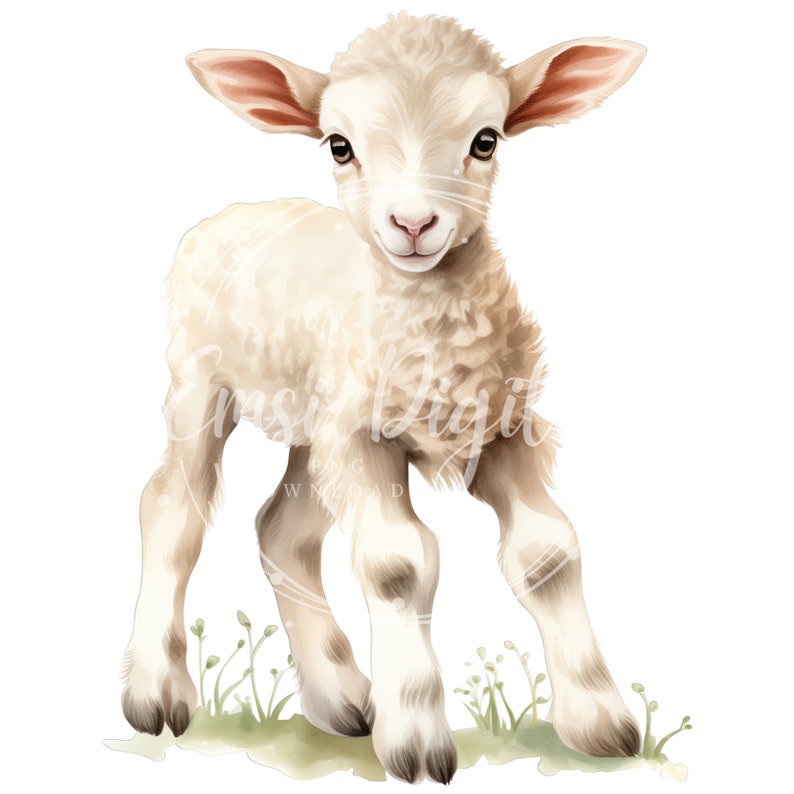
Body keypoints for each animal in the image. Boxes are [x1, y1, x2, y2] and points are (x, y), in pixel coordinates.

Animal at [121, 13, 646, 784]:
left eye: (486, 139)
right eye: (339, 145)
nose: (413, 224)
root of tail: (237, 210)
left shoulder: (502, 427)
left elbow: (548, 554)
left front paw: (599, 720)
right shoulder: (366, 437)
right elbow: (399, 564)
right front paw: (417, 740)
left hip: (318, 423)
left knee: (282, 531)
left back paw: (341, 698)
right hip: (200, 384)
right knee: (171, 509)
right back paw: (156, 691)